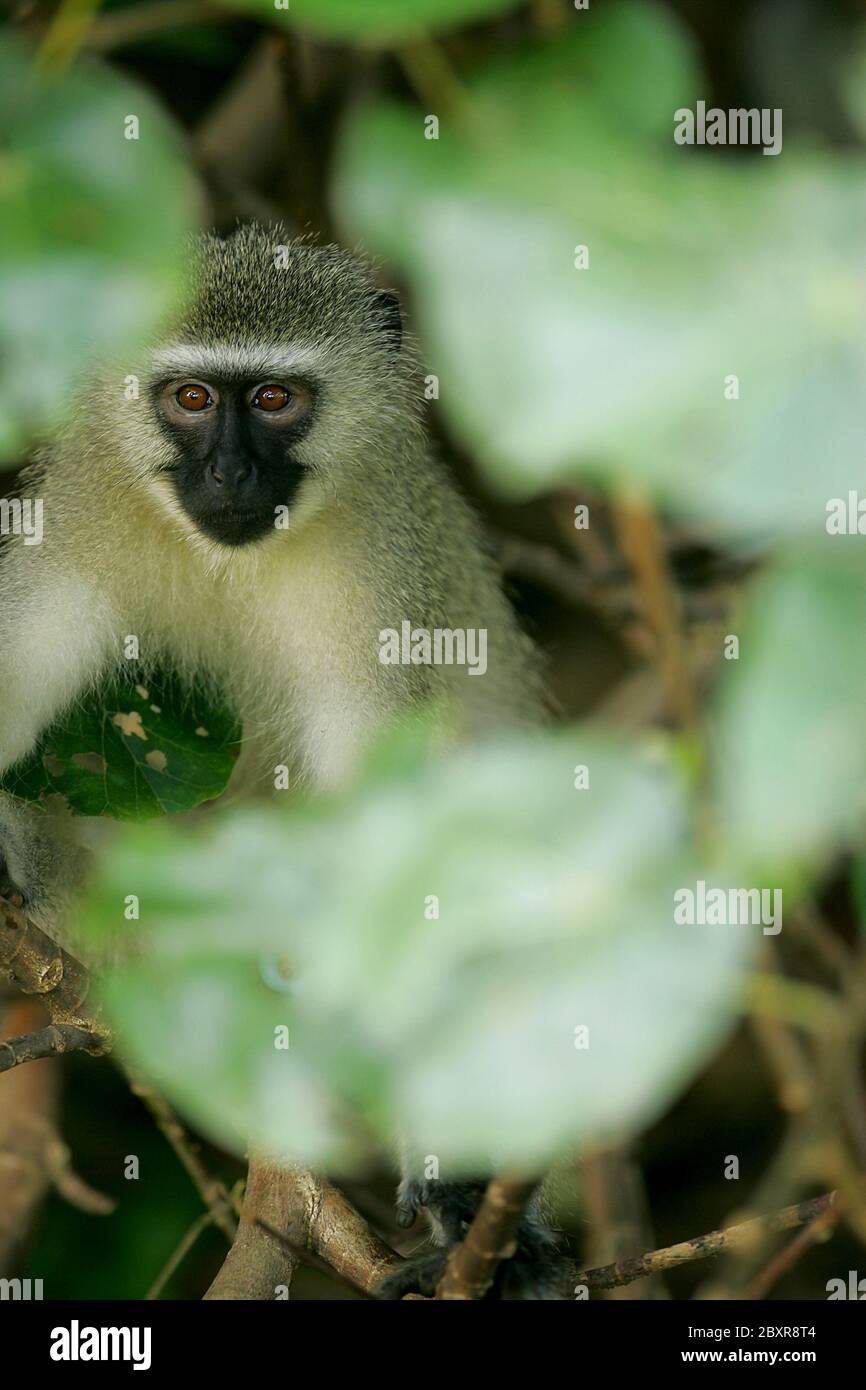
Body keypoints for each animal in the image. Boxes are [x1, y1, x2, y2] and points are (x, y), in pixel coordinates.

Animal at [0, 223, 566, 1298]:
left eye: (273, 399)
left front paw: (460, 1185)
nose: (229, 477)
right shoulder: (70, 540)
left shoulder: (378, 597)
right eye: (190, 398)